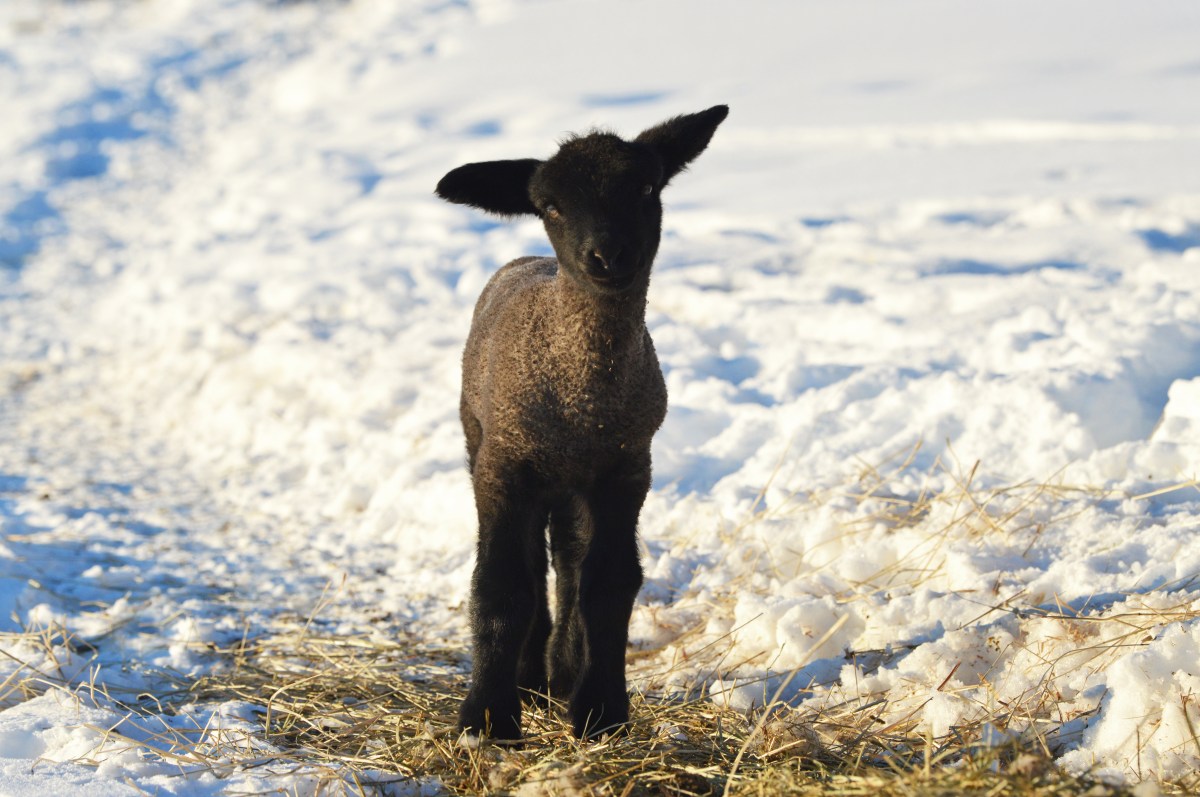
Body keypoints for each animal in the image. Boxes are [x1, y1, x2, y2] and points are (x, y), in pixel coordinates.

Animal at [435, 105, 729, 741]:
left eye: (646, 188)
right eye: (550, 205)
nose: (609, 256)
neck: (581, 398)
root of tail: (533, 260)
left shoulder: (626, 469)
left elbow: (610, 582)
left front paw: (601, 710)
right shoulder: (504, 466)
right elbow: (500, 583)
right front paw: (488, 716)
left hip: (574, 484)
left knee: (568, 560)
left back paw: (561, 673)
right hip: (486, 444)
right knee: (532, 561)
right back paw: (529, 676)